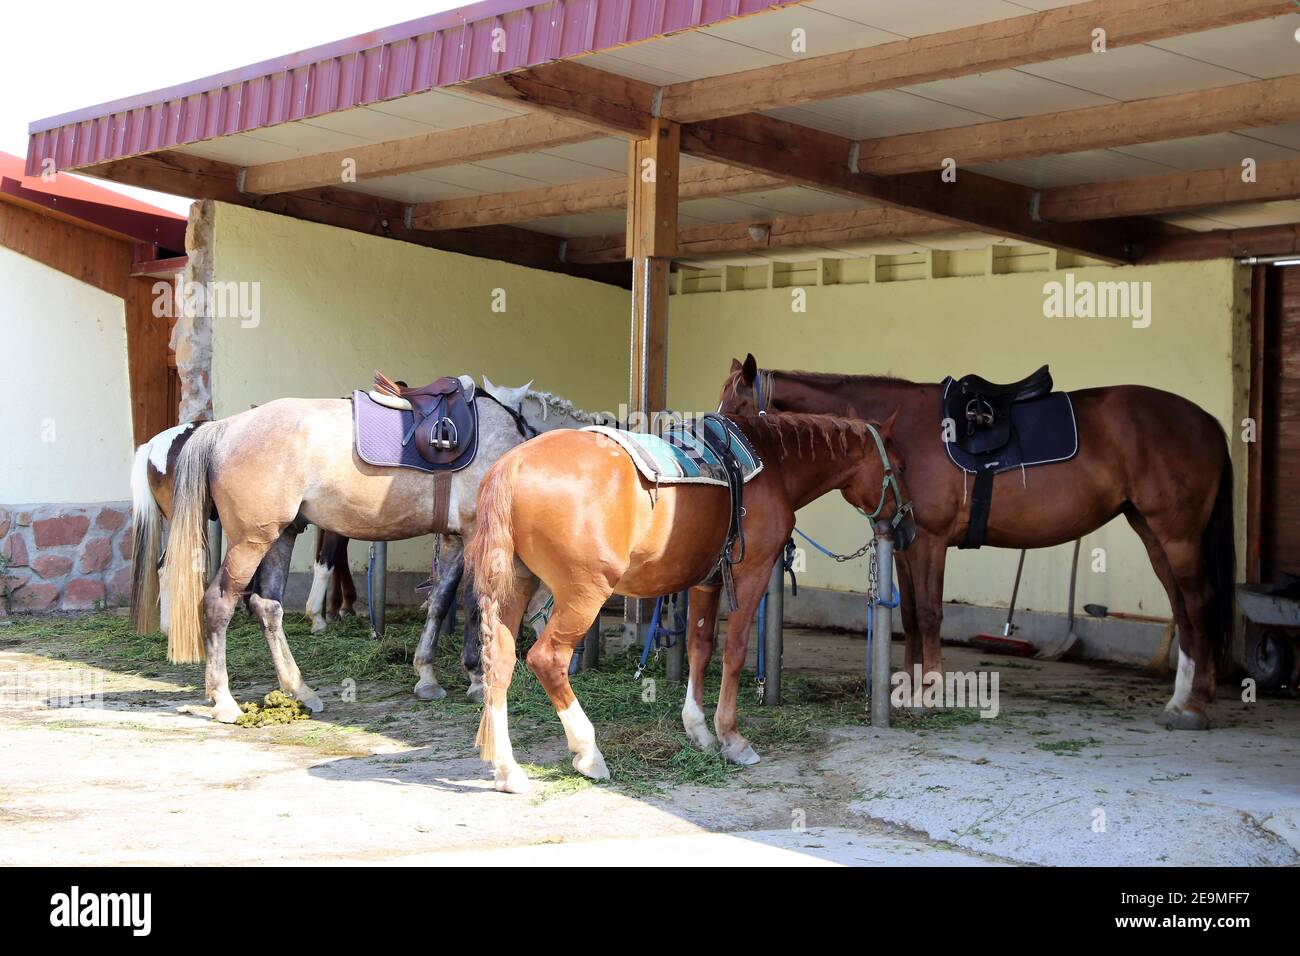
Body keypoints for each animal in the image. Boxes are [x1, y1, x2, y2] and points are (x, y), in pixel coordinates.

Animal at [465, 411, 911, 794]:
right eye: (901, 468)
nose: (906, 528)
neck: (773, 463)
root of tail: (511, 467)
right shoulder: (751, 574)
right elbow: (734, 652)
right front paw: (731, 737)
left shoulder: (706, 582)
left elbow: (700, 647)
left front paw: (698, 729)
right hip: (584, 593)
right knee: (548, 659)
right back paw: (588, 754)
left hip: (515, 587)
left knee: (500, 662)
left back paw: (508, 770)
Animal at [718, 354, 1236, 730]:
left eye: (736, 409)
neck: (896, 432)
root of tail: (1208, 421)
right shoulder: (903, 539)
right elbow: (910, 615)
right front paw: (907, 688)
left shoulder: (929, 540)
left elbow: (929, 613)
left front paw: (929, 690)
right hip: (1152, 532)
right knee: (1183, 608)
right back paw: (1187, 697)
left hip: (1178, 535)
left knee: (1199, 602)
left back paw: (1193, 706)